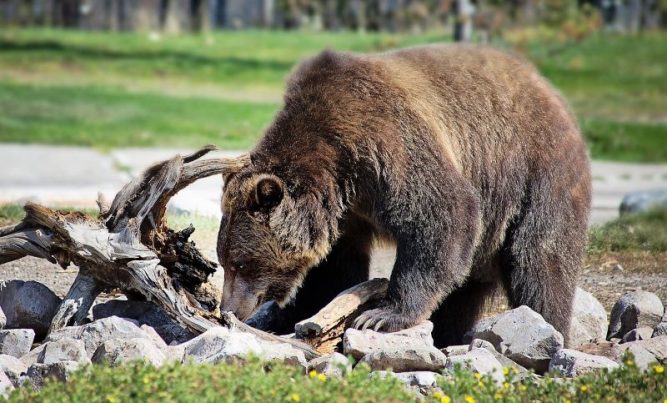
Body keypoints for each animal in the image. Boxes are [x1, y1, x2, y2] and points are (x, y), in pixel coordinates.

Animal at [216, 44, 592, 346]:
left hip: (535, 173)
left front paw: (381, 315)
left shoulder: (386, 143)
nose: (227, 309)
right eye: (225, 261)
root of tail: (548, 89)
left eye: (240, 263)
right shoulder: (347, 213)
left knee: (538, 260)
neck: (338, 170)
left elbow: (442, 212)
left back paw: (548, 327)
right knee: (464, 290)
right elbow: (334, 269)